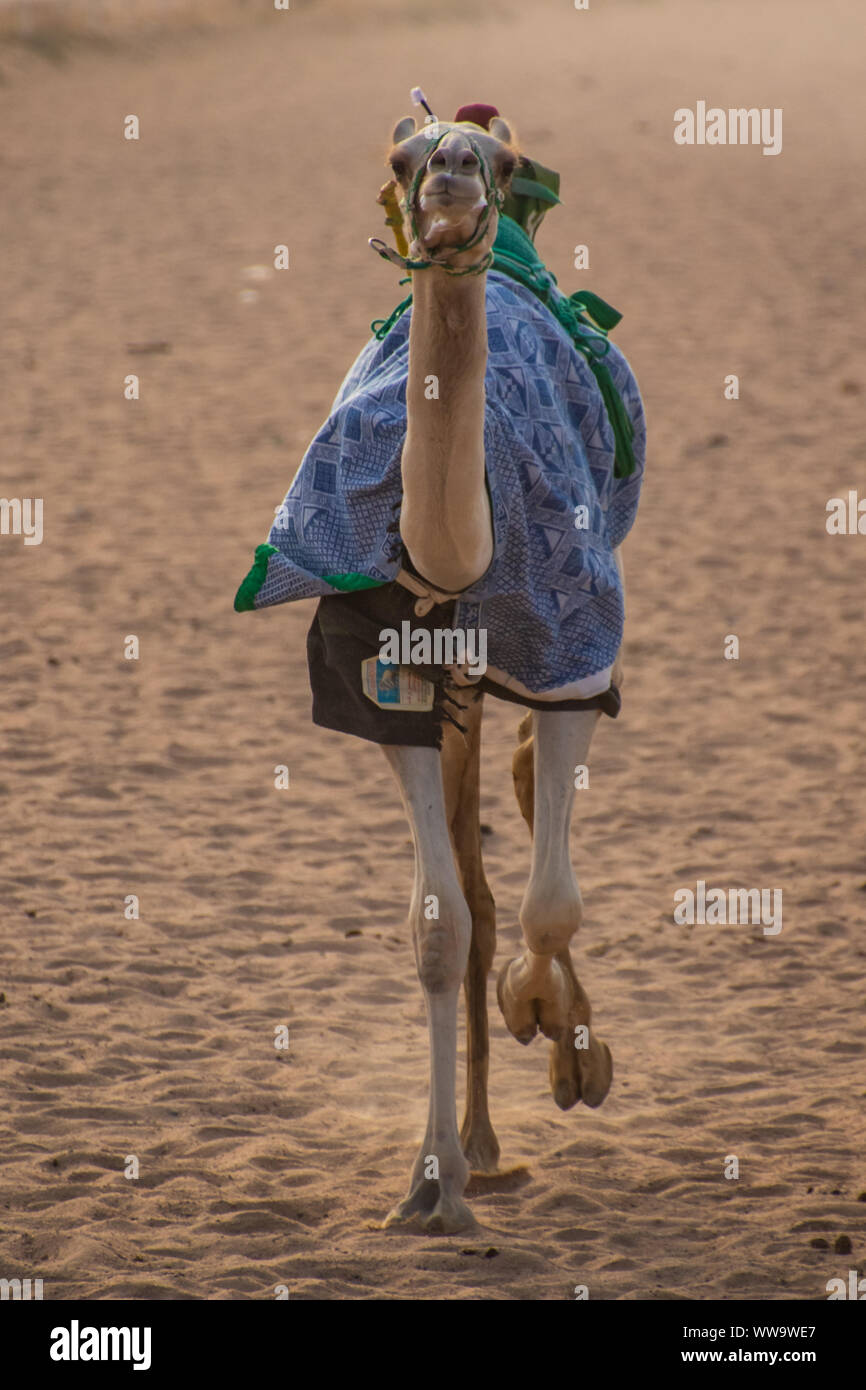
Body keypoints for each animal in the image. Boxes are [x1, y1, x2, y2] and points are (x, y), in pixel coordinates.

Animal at [235, 99, 644, 1234]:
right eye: (397, 154)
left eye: (503, 159)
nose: (454, 170)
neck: (453, 554)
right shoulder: (385, 691)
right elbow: (436, 924)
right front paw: (432, 1184)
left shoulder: (570, 652)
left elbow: (552, 901)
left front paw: (557, 1034)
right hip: (452, 688)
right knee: (473, 881)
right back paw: (483, 1146)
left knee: (526, 832)